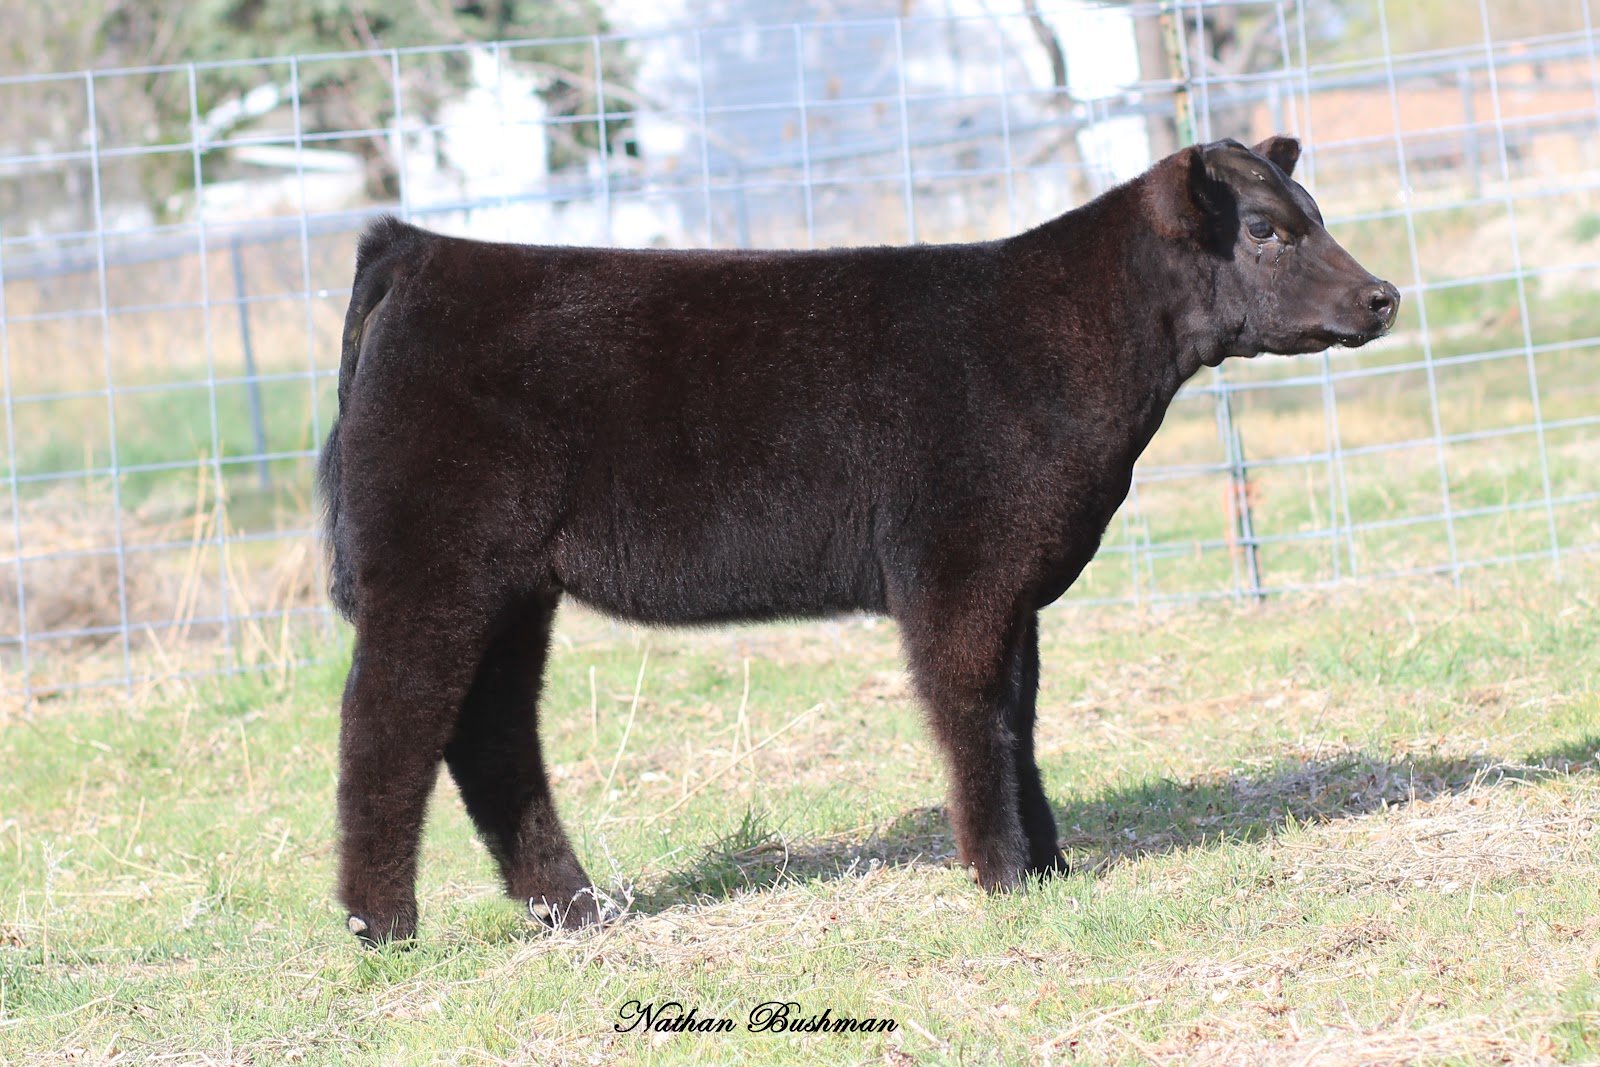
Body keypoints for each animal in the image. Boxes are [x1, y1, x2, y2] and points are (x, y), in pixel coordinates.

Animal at [319, 136, 1399, 943]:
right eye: (1264, 228)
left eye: (1311, 208)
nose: (1382, 294)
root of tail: (423, 248)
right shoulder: (956, 567)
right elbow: (971, 712)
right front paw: (1002, 875)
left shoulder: (1015, 580)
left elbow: (1020, 716)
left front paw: (1049, 863)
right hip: (432, 563)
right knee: (389, 722)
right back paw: (385, 925)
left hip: (514, 585)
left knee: (491, 731)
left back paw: (573, 907)